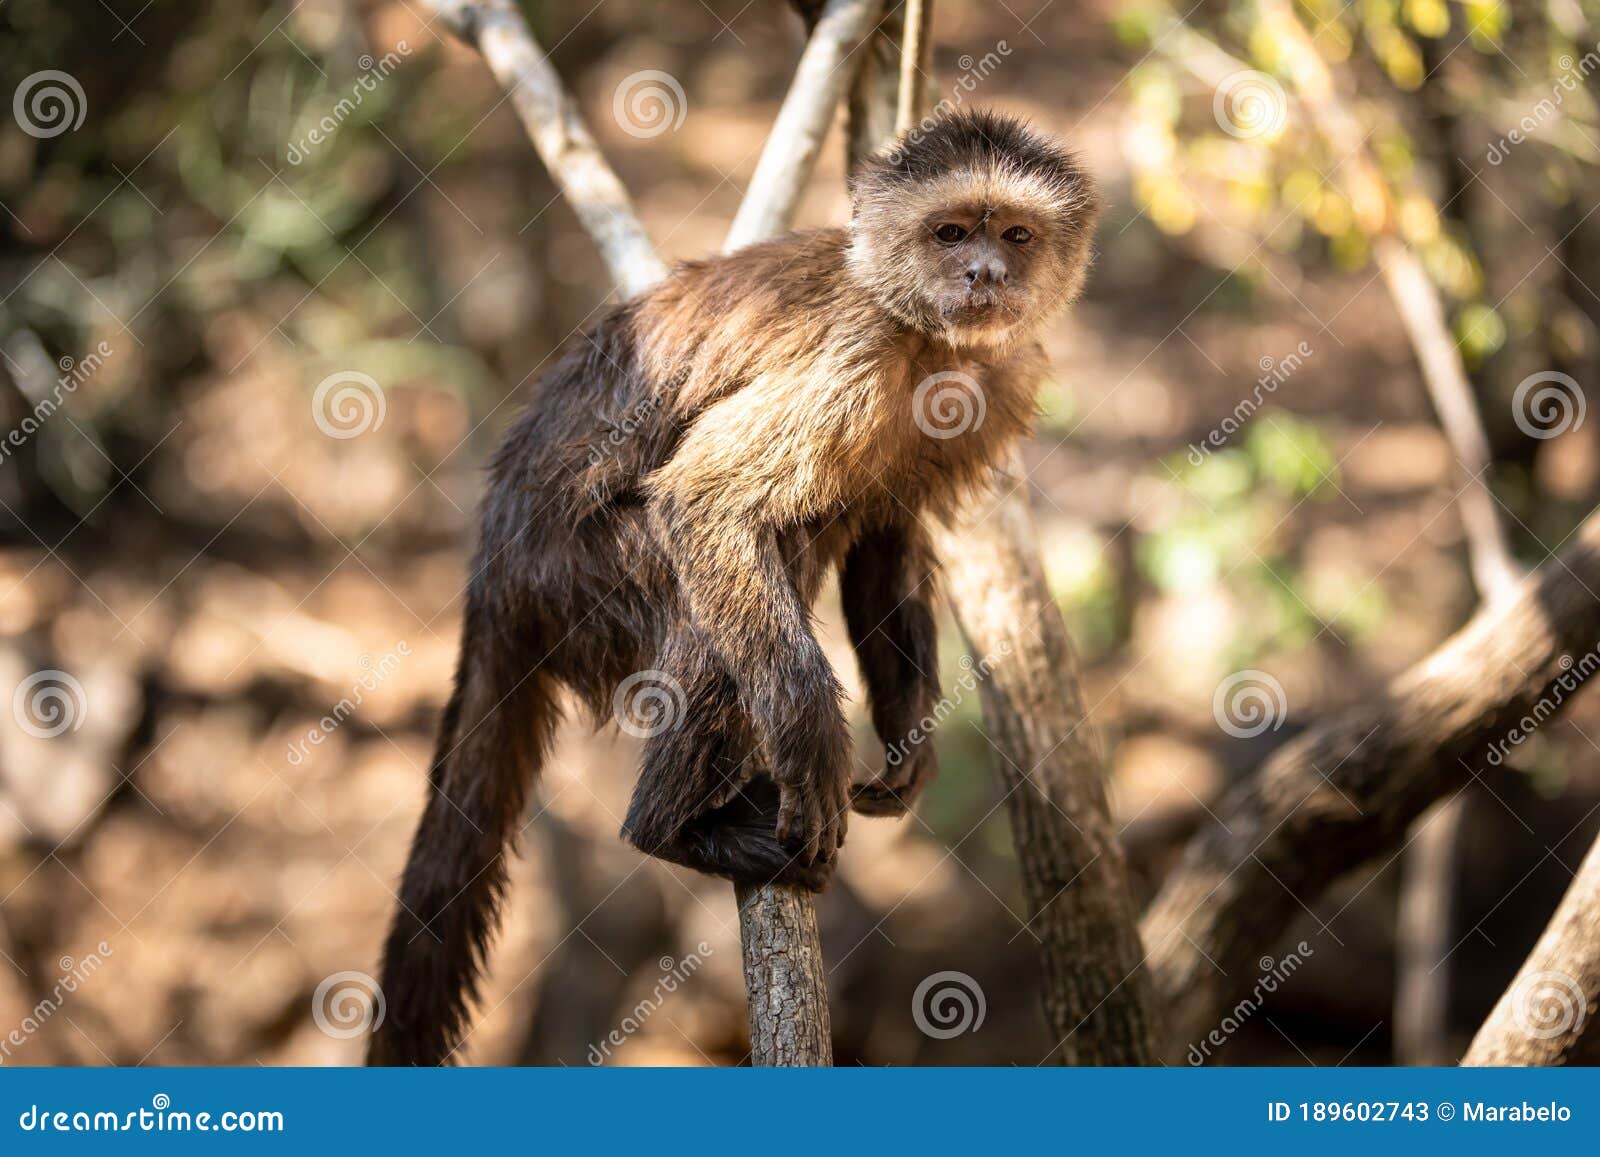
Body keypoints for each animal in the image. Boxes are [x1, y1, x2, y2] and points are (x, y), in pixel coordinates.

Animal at [368, 110, 1098, 1066]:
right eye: (950, 234)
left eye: (1013, 235)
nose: (983, 273)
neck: (927, 338)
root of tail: (492, 562)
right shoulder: (857, 358)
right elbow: (704, 497)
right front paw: (812, 733)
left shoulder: (997, 383)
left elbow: (886, 537)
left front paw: (908, 747)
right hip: (569, 573)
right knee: (721, 597)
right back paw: (674, 830)